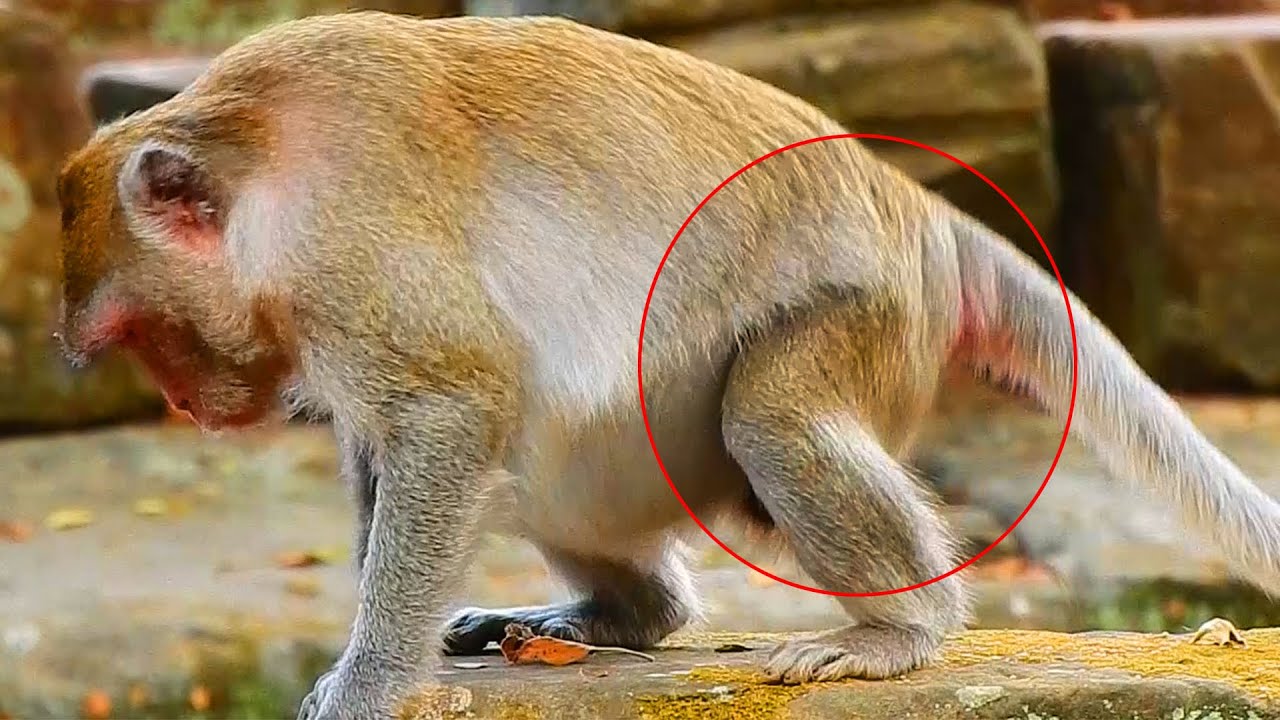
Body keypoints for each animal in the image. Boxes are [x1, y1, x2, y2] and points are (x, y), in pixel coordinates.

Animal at [54, 11, 1280, 720]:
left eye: (141, 337)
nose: (185, 403)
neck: (258, 174)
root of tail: (920, 211)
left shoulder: (352, 246)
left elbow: (453, 409)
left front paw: (368, 681)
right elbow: (401, 438)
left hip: (865, 306)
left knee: (765, 420)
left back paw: (898, 634)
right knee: (547, 460)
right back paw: (620, 616)